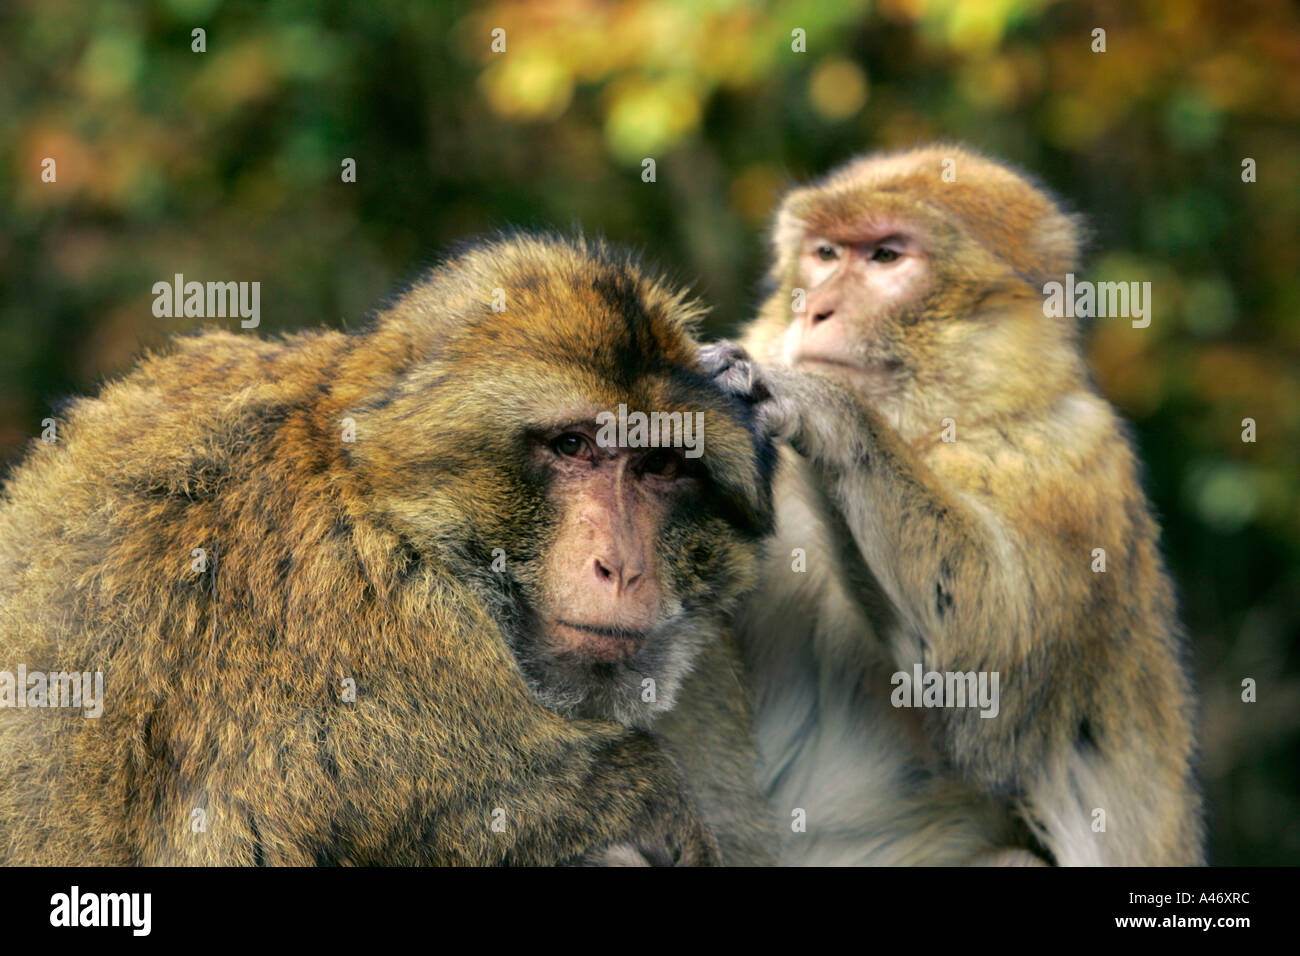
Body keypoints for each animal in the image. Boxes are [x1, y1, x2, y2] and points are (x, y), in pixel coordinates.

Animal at [701, 143, 1204, 866]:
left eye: (886, 256)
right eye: (825, 253)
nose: (815, 309)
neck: (930, 430)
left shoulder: (1075, 471)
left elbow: (982, 669)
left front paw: (823, 409)